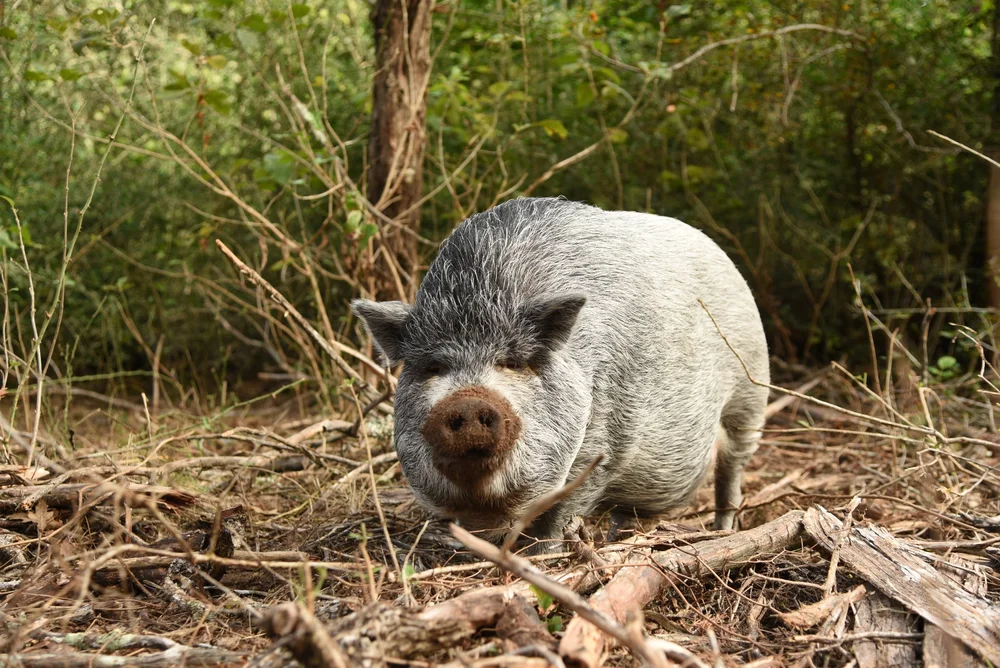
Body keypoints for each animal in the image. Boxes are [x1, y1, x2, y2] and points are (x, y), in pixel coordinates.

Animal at [351, 197, 769, 549]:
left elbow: (558, 514)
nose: (468, 402)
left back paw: (722, 531)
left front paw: (542, 557)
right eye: (434, 367)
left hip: (751, 389)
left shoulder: (605, 441)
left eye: (513, 362)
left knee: (732, 467)